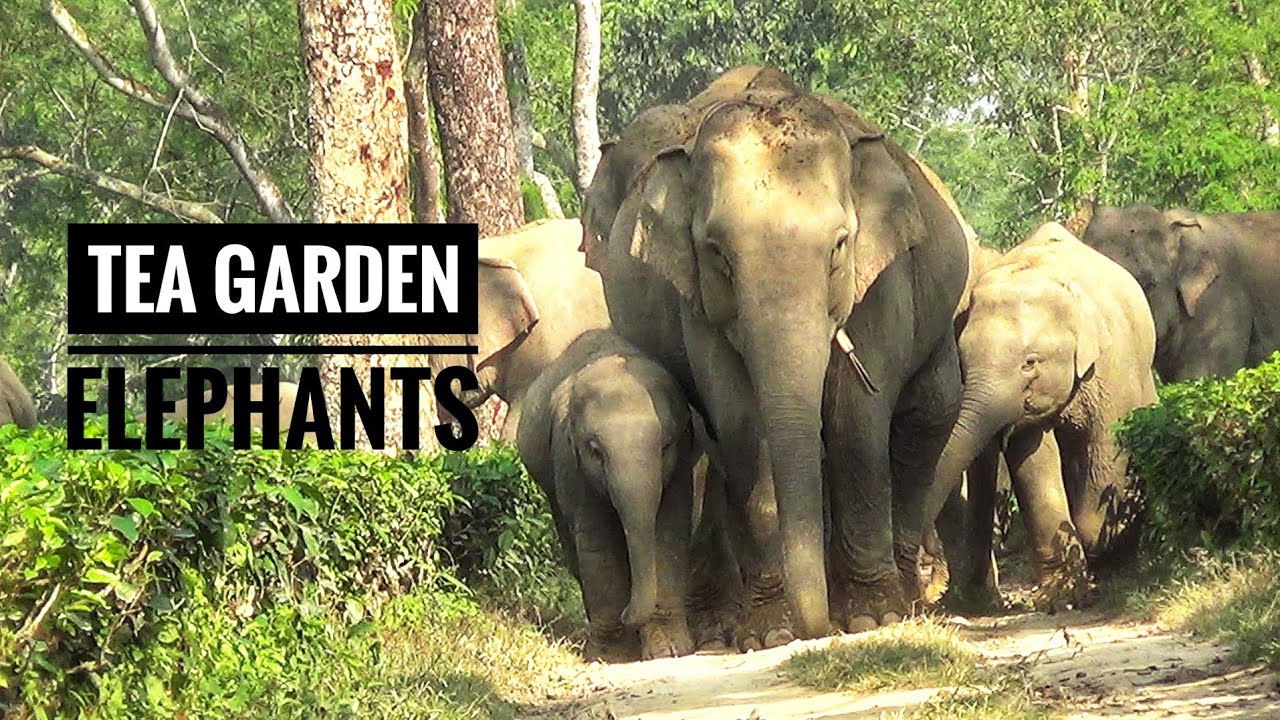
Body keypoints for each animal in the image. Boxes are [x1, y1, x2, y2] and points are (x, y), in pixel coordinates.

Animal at [515, 329, 700, 662]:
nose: (629, 614)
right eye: (595, 451)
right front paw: (612, 656)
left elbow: (669, 532)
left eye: (665, 445)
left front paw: (670, 650)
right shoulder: (569, 459)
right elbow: (597, 541)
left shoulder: (682, 461)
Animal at [587, 66, 970, 645]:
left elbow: (856, 418)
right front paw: (771, 634)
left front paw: (871, 617)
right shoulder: (697, 302)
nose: (820, 628)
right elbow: (742, 424)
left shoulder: (880, 277)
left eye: (839, 246)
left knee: (928, 412)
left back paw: (907, 596)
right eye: (719, 255)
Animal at [925, 221, 1158, 611]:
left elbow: (1105, 447)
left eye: (1030, 362)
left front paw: (1097, 547)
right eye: (962, 362)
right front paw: (1060, 596)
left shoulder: (1111, 365)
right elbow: (1034, 462)